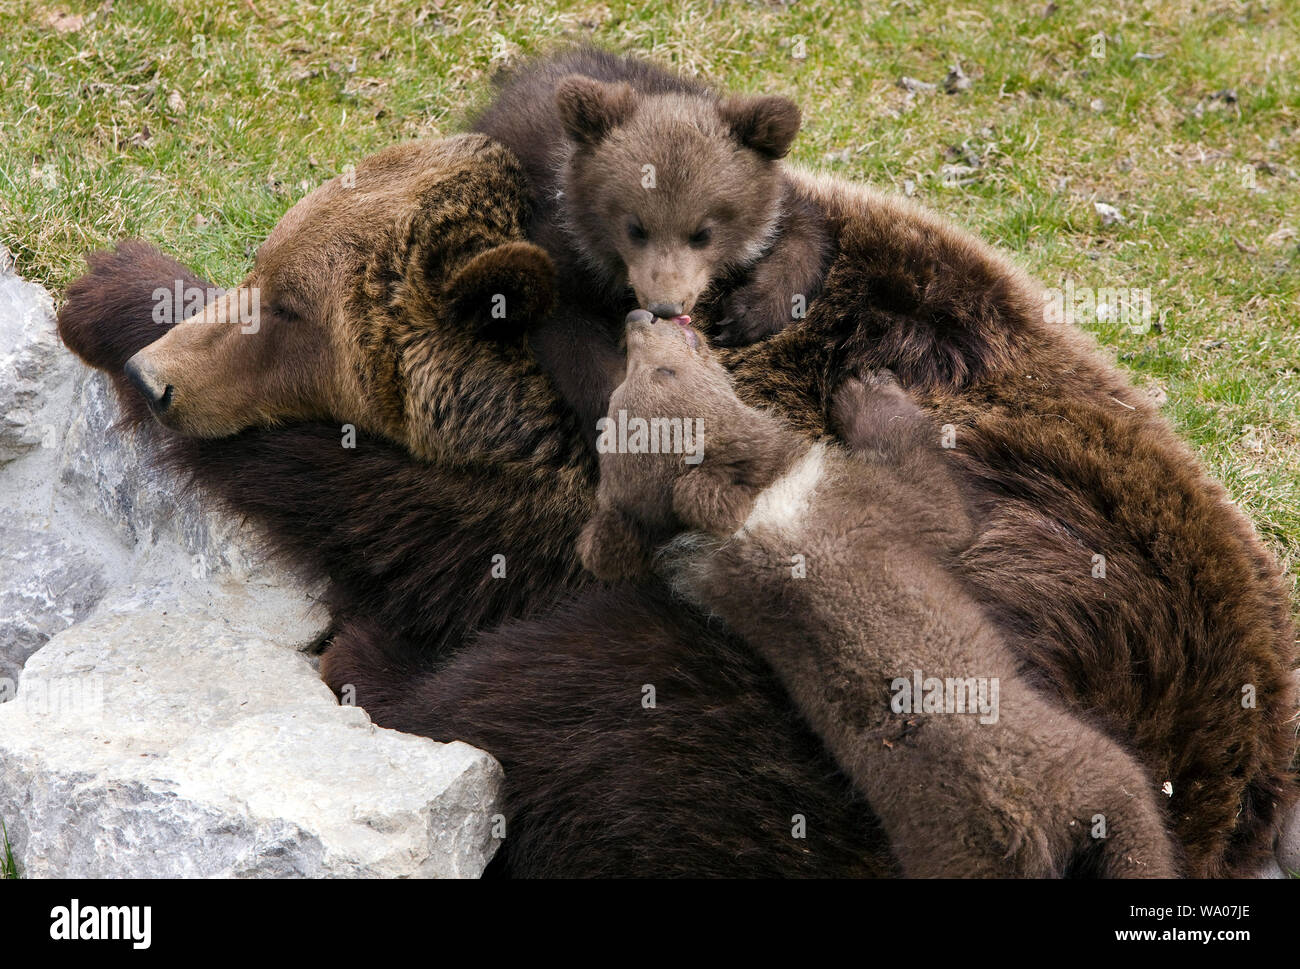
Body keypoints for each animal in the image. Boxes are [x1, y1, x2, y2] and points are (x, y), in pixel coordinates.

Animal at [469, 47, 832, 348]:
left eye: (703, 233)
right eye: (635, 229)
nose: (666, 306)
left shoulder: (776, 208)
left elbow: (805, 235)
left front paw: (744, 316)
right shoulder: (563, 243)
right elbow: (571, 337)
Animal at [577, 311, 1180, 878]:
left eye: (629, 385)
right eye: (660, 373)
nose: (639, 318)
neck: (752, 505)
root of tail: (1022, 835)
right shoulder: (865, 503)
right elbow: (937, 499)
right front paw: (865, 384)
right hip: (1084, 770)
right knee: (1137, 825)